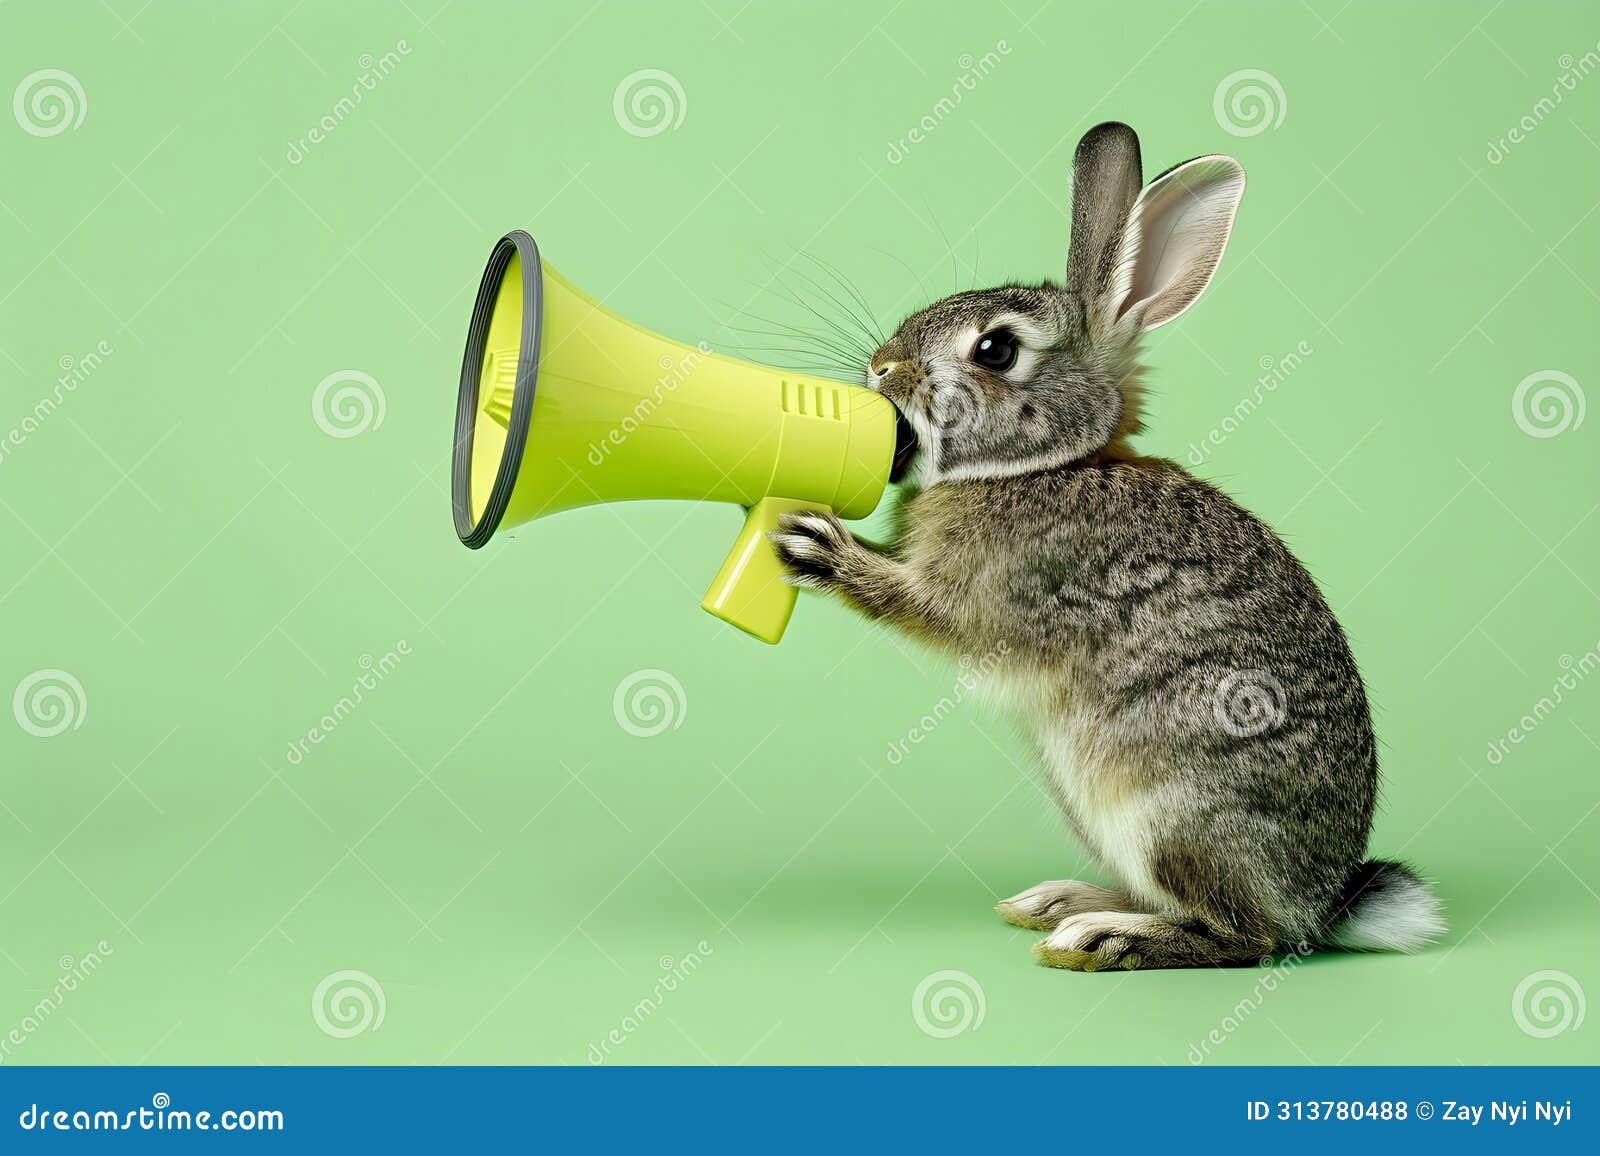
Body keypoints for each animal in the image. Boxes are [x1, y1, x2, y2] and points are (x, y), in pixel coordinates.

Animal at [770, 122, 1445, 971]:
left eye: (995, 351)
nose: (882, 366)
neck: (1044, 465)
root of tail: (1325, 904)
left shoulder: (994, 596)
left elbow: (919, 606)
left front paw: (815, 546)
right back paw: (1064, 903)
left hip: (1168, 817)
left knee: (1245, 937)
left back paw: (1104, 939)